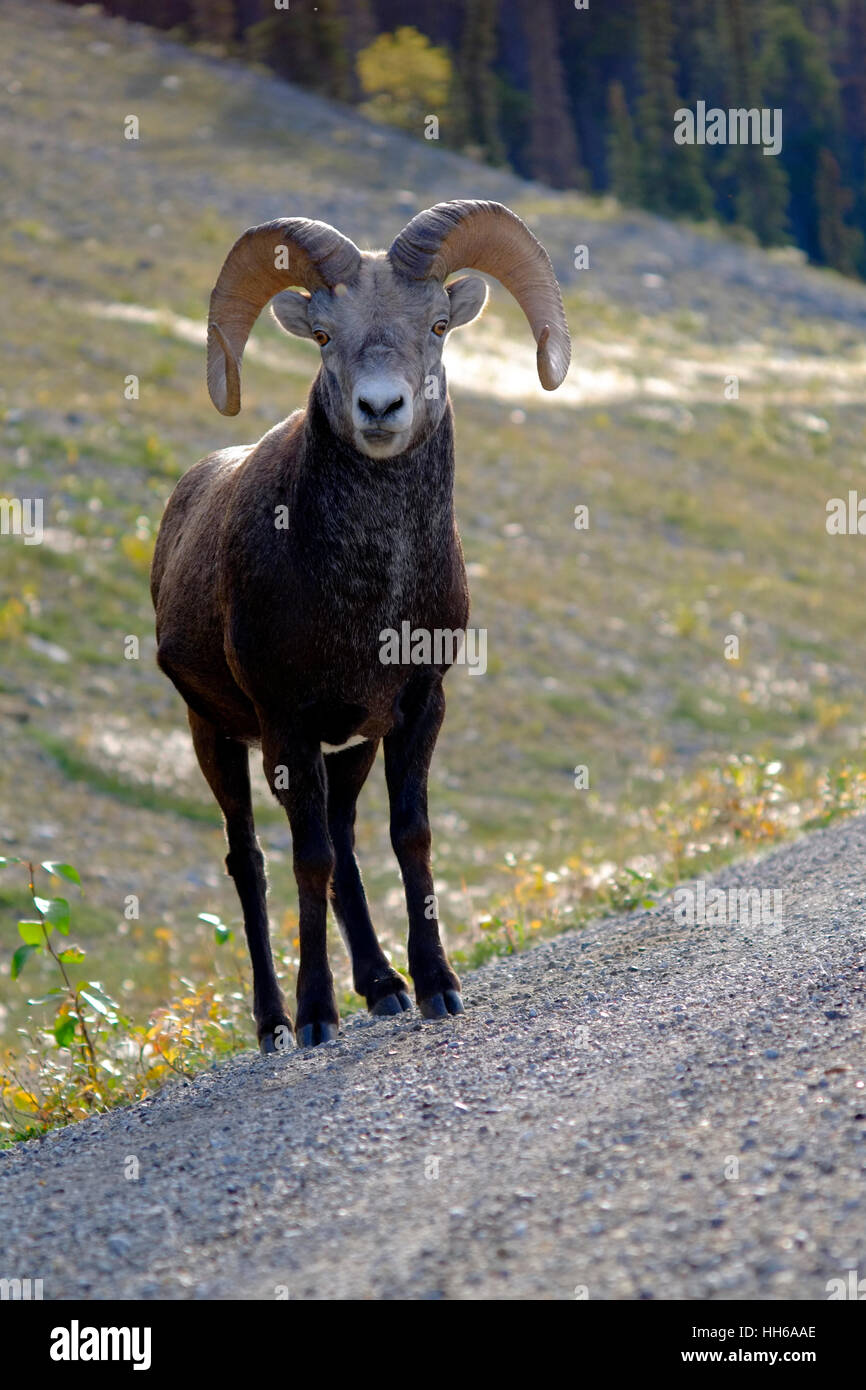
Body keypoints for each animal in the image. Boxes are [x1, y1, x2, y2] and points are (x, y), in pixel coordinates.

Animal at [151, 199, 571, 1051]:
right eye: (322, 335)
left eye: (438, 325)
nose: (381, 409)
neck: (370, 599)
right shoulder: (287, 725)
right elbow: (306, 860)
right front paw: (317, 1016)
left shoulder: (412, 707)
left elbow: (407, 838)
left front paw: (436, 985)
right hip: (216, 737)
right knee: (250, 861)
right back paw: (276, 1023)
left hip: (348, 751)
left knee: (345, 842)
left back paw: (382, 987)